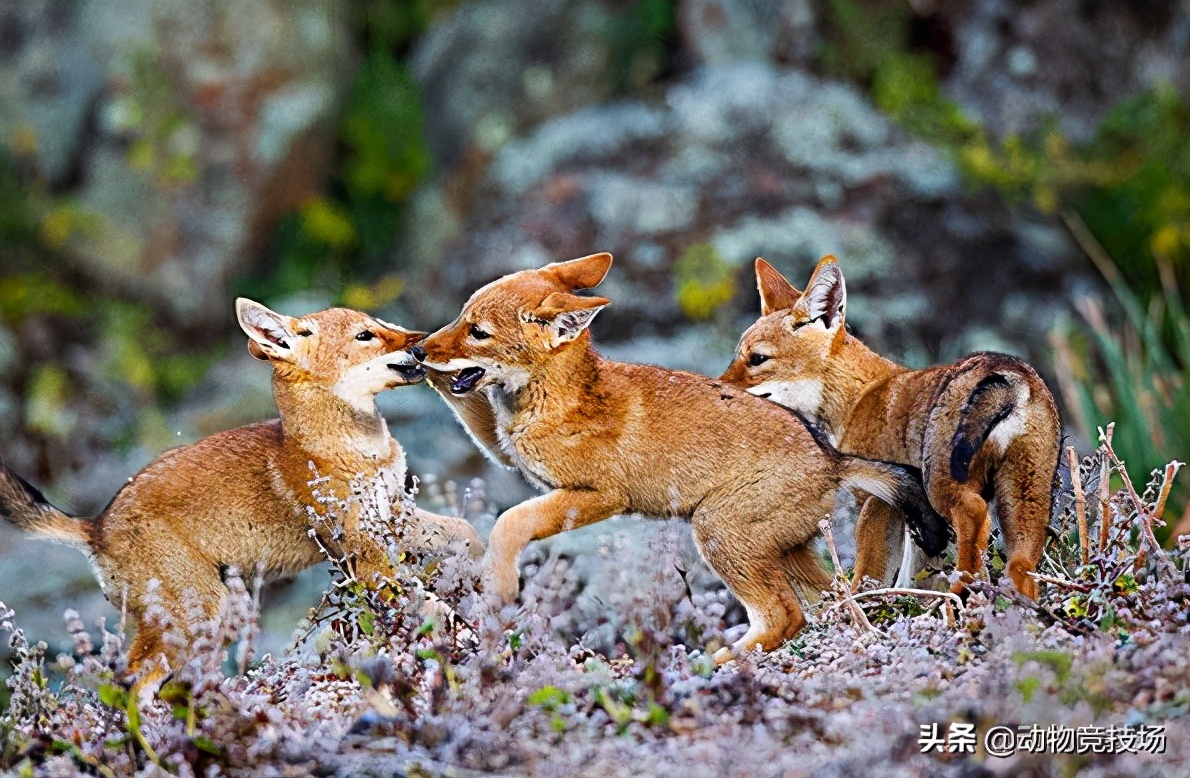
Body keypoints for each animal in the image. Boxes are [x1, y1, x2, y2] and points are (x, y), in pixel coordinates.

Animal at [0, 300, 481, 680]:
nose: (424, 342)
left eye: (383, 322)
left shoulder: (394, 515)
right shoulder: (365, 553)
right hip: (194, 619)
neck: (355, 449)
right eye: (365, 336)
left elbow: (467, 535)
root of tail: (95, 526)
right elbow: (429, 605)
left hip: (220, 621)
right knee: (133, 684)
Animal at [414, 252, 950, 661]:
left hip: (716, 532)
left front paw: (500, 589)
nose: (420, 350)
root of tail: (832, 457)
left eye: (477, 332)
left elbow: (508, 523)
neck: (559, 399)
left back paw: (704, 667)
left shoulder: (598, 496)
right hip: (786, 554)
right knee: (831, 604)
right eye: (460, 318)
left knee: (783, 616)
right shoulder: (504, 453)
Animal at [720, 255, 1061, 598]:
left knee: (975, 521)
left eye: (757, 359)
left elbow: (869, 573)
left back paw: (958, 596)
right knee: (1020, 566)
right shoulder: (914, 515)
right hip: (1025, 505)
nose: (715, 387)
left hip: (945, 490)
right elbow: (913, 574)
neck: (856, 398)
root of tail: (1010, 370)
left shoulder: (878, 501)